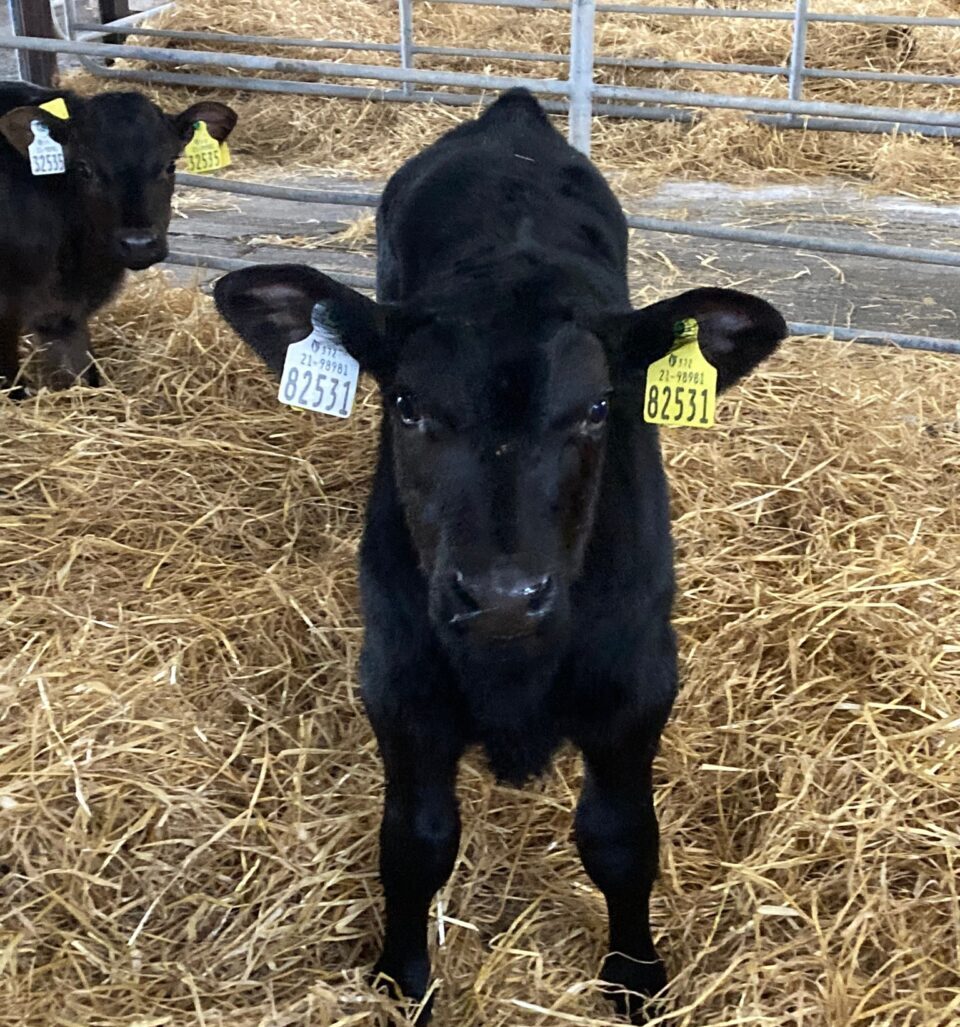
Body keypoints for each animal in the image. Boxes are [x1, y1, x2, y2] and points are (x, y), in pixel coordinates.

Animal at [214, 88, 787, 1023]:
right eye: (405, 404)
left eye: (598, 408)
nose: (504, 594)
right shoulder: (398, 679)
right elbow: (414, 841)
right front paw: (402, 977)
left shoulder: (639, 680)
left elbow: (622, 839)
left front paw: (635, 976)